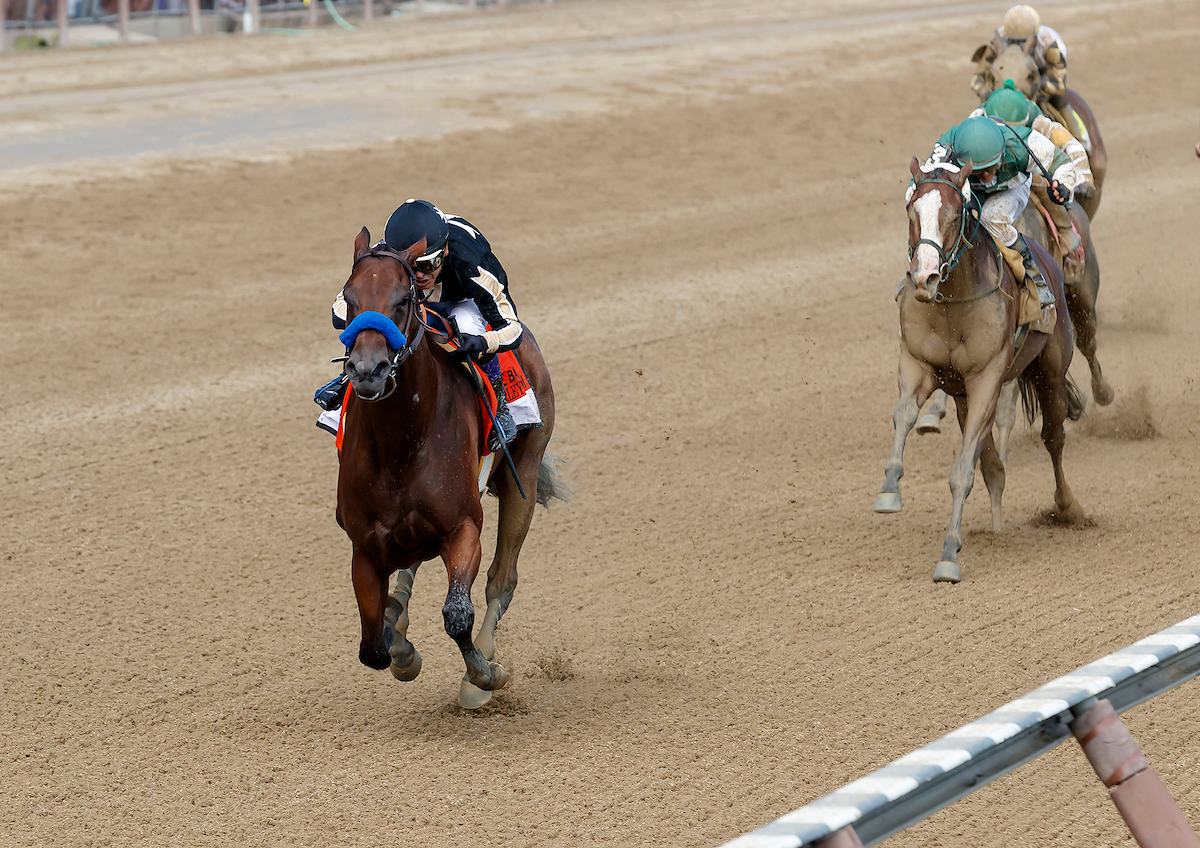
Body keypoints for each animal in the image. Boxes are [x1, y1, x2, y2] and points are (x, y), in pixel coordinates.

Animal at [336, 226, 566, 708]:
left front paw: (485, 674)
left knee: (501, 579)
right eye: (349, 297)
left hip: (524, 471)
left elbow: (457, 613)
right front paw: (401, 647)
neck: (401, 445)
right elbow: (373, 647)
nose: (367, 370)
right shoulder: (364, 548)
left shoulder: (462, 528)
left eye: (402, 300)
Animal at [874, 160, 1086, 583]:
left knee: (1053, 438)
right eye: (911, 212)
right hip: (961, 397)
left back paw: (1066, 505)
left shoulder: (987, 380)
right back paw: (998, 521)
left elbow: (962, 474)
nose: (925, 277)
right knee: (992, 464)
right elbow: (903, 415)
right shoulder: (918, 364)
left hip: (1050, 373)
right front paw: (889, 489)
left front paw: (949, 556)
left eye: (955, 215)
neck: (952, 304)